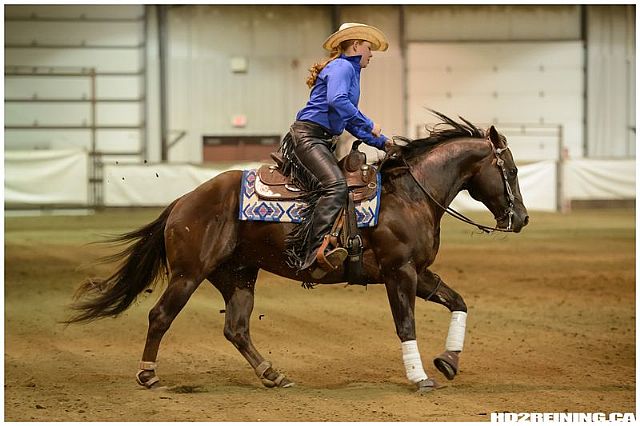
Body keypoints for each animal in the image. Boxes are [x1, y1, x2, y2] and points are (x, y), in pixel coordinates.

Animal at [66, 112, 529, 393]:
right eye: (510, 170)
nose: (522, 218)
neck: (410, 195)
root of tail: (183, 200)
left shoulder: (419, 273)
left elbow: (459, 301)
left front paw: (448, 361)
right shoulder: (400, 273)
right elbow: (406, 325)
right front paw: (420, 378)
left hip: (237, 275)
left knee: (236, 328)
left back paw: (273, 374)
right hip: (188, 273)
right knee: (160, 316)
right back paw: (148, 375)